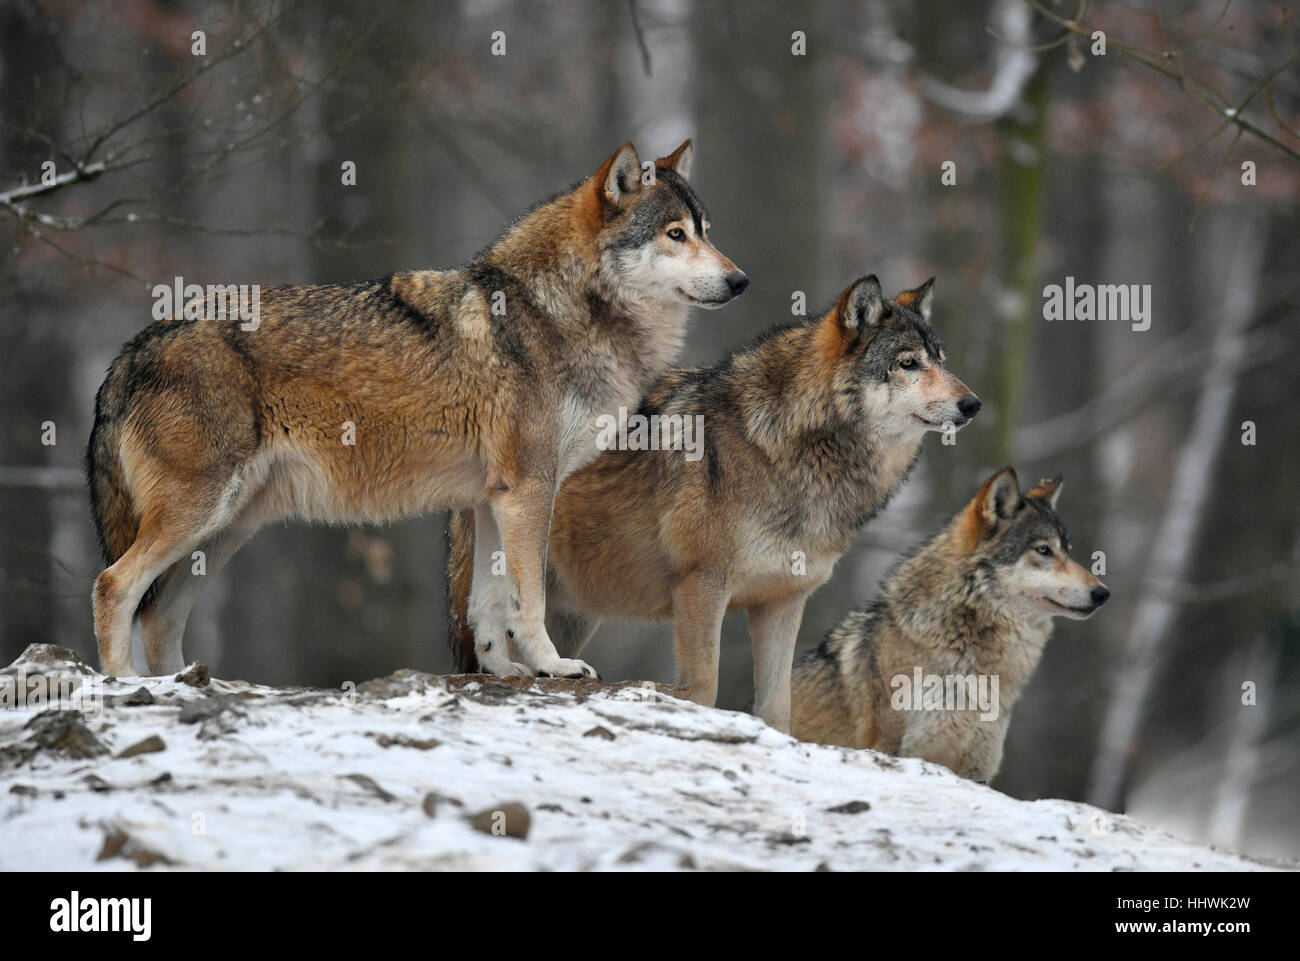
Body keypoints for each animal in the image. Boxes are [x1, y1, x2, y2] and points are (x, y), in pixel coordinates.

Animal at [86, 140, 747, 679]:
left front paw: (501, 673)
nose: (741, 281)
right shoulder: (529, 490)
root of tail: (135, 345)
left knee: (159, 615)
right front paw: (553, 665)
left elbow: (487, 606)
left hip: (227, 528)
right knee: (113, 586)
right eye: (675, 234)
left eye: (708, 229)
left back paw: (184, 684)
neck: (559, 310)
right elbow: (527, 599)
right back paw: (125, 684)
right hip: (202, 514)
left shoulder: (490, 499)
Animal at [449, 274, 981, 731]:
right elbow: (704, 687)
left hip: (577, 615)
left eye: (941, 360)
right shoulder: (701, 585)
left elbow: (777, 709)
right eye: (908, 363)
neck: (797, 447)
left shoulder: (783, 602)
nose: (972, 404)